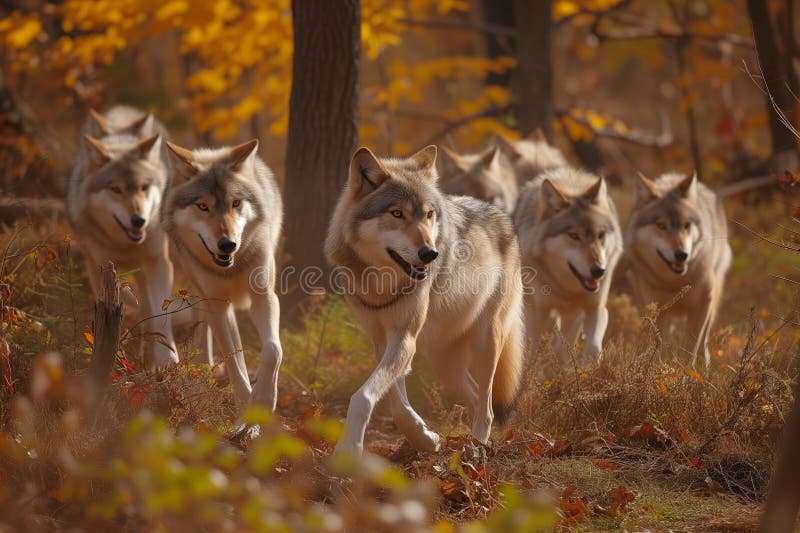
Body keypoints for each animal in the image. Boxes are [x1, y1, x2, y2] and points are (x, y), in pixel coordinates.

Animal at [67, 107, 177, 367]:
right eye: (115, 189)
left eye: (144, 187)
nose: (139, 220)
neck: (125, 244)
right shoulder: (98, 265)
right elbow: (120, 299)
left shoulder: (159, 262)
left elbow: (160, 313)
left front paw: (166, 359)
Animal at [161, 140, 283, 410]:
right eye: (203, 206)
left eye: (235, 203)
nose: (228, 244)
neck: (230, 268)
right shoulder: (217, 303)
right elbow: (232, 360)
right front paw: (245, 403)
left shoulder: (264, 296)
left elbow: (273, 350)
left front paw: (264, 398)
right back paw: (202, 370)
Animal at [325, 145, 525, 455]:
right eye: (397, 213)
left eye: (429, 215)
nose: (430, 253)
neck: (379, 282)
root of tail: (502, 215)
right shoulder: (383, 339)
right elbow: (396, 403)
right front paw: (425, 438)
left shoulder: (405, 337)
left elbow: (363, 397)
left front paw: (349, 449)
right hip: (445, 365)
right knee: (474, 396)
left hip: (486, 342)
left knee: (487, 408)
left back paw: (478, 446)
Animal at [514, 167, 623, 360]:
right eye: (574, 236)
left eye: (600, 235)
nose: (599, 270)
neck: (567, 290)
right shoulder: (538, 310)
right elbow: (531, 349)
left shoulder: (595, 307)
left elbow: (593, 346)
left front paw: (589, 363)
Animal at [625, 172, 731, 367]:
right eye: (660, 225)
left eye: (686, 225)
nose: (682, 254)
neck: (673, 282)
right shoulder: (655, 310)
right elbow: (656, 348)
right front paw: (653, 371)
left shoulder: (701, 304)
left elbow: (689, 350)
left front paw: (687, 372)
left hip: (712, 301)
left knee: (704, 340)